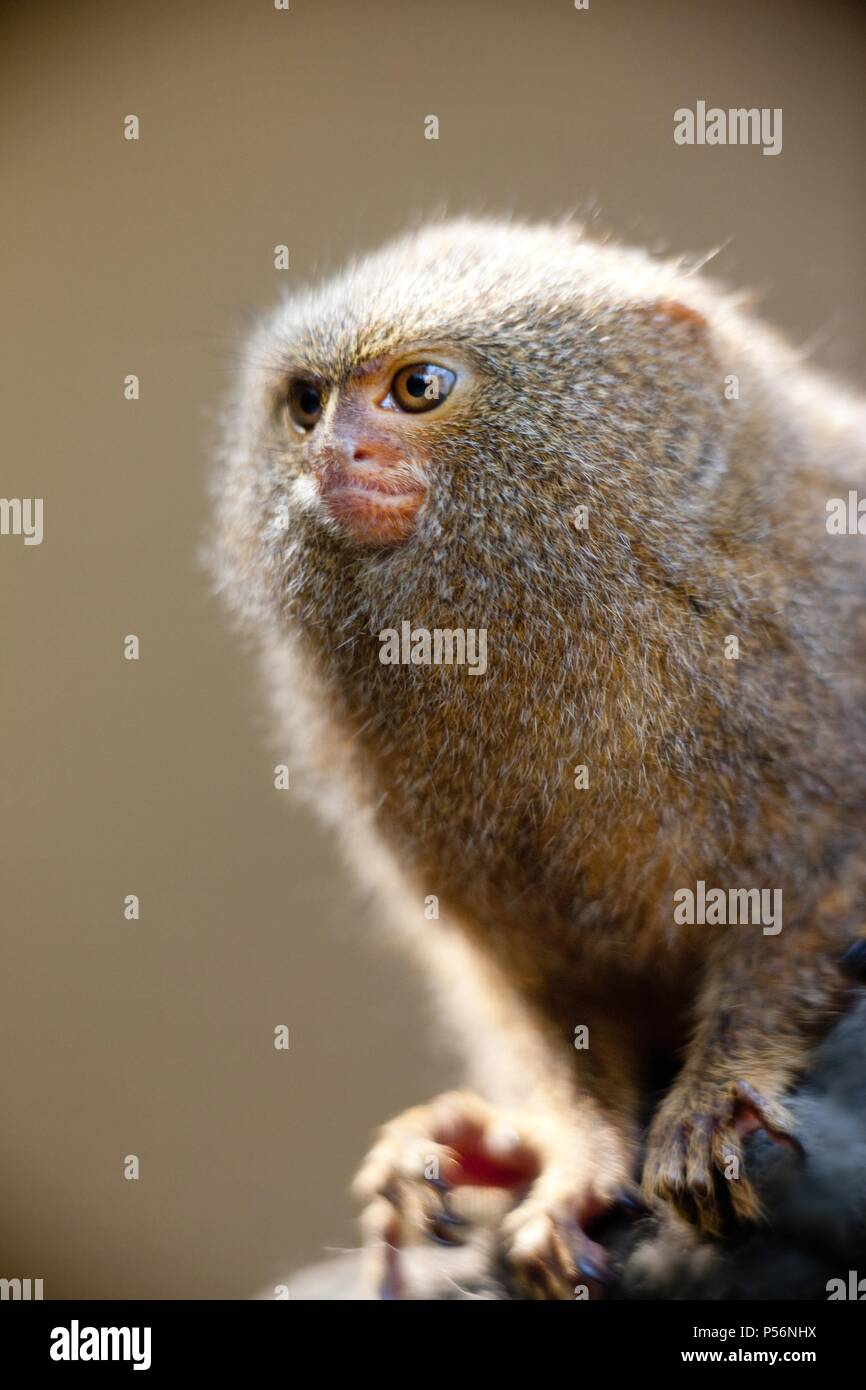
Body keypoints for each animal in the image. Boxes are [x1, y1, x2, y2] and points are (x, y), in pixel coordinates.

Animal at [213, 218, 866, 1299]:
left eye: (417, 388)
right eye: (306, 404)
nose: (332, 454)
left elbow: (805, 904)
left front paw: (715, 1094)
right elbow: (547, 990)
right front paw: (572, 1160)